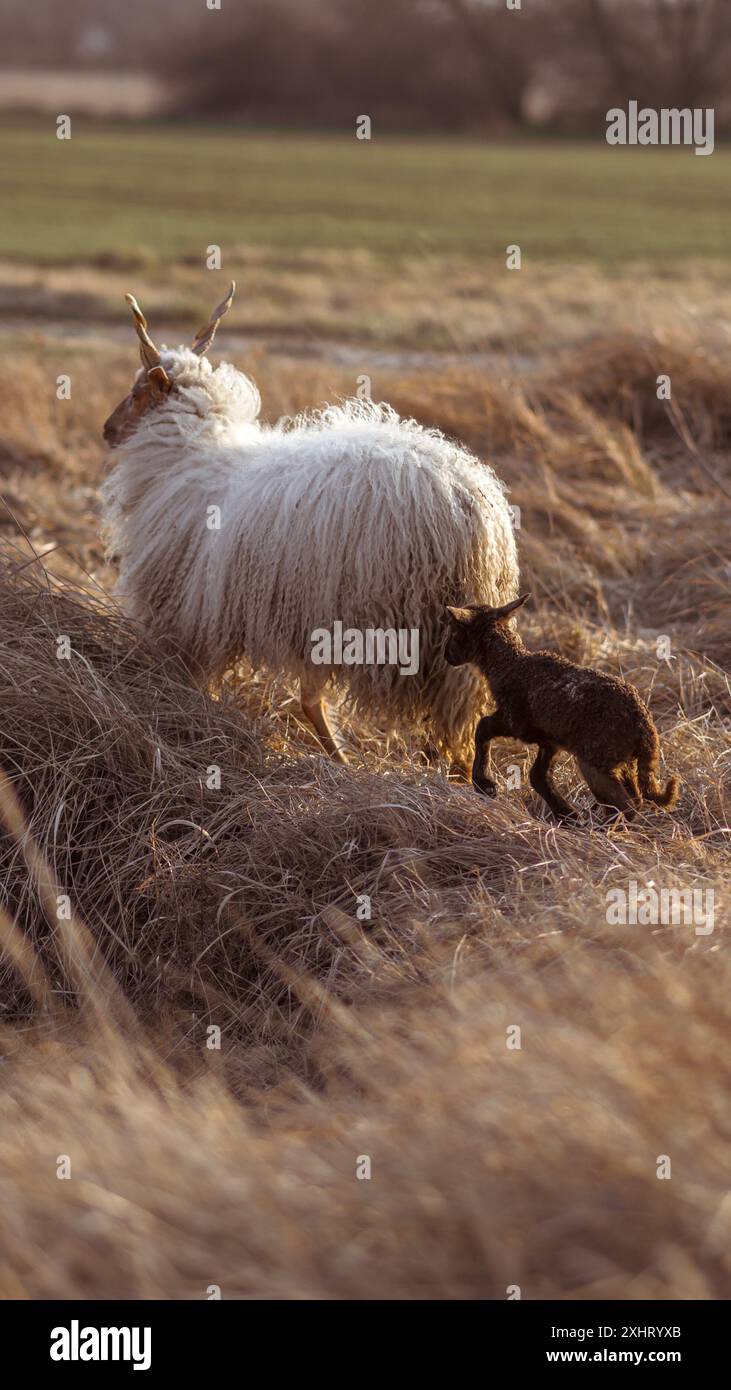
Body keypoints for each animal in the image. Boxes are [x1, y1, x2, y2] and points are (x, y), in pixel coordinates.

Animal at [101, 284, 519, 765]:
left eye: (137, 392)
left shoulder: (195, 614)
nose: (107, 430)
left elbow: (202, 680)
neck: (189, 455)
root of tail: (471, 505)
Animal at [444, 593, 680, 820]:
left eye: (453, 632)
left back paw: (602, 829)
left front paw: (484, 784)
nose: (446, 655)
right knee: (635, 798)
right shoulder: (549, 741)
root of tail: (646, 727)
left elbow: (482, 727)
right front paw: (567, 815)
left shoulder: (514, 721)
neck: (507, 662)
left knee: (625, 805)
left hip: (596, 759)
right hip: (623, 761)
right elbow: (538, 776)